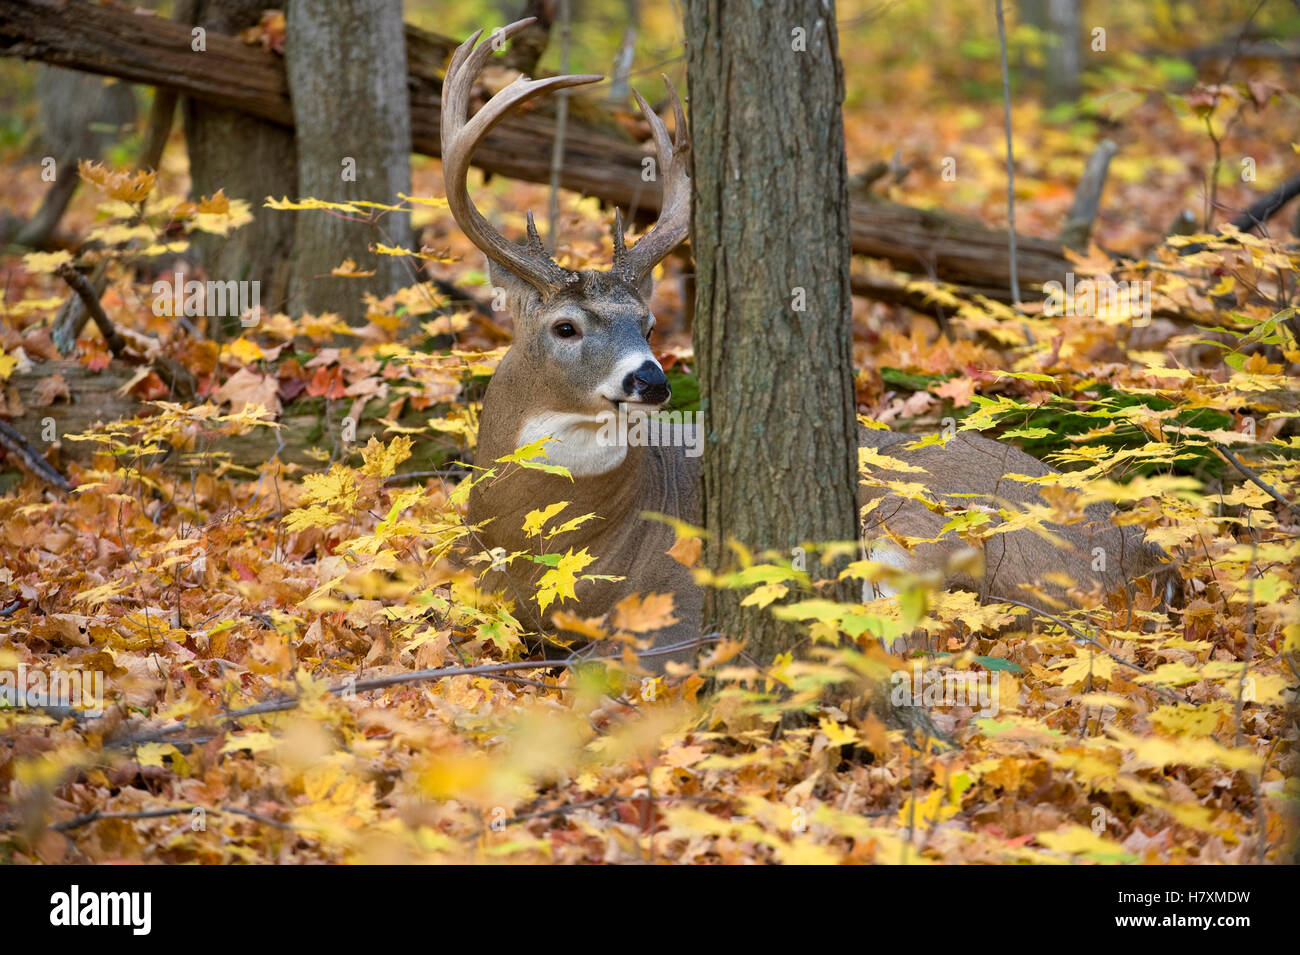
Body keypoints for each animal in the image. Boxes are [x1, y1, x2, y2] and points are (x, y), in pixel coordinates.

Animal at [444, 20, 1171, 667]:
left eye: (647, 323)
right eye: (566, 326)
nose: (651, 381)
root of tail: (1137, 545)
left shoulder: (677, 602)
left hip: (955, 534)